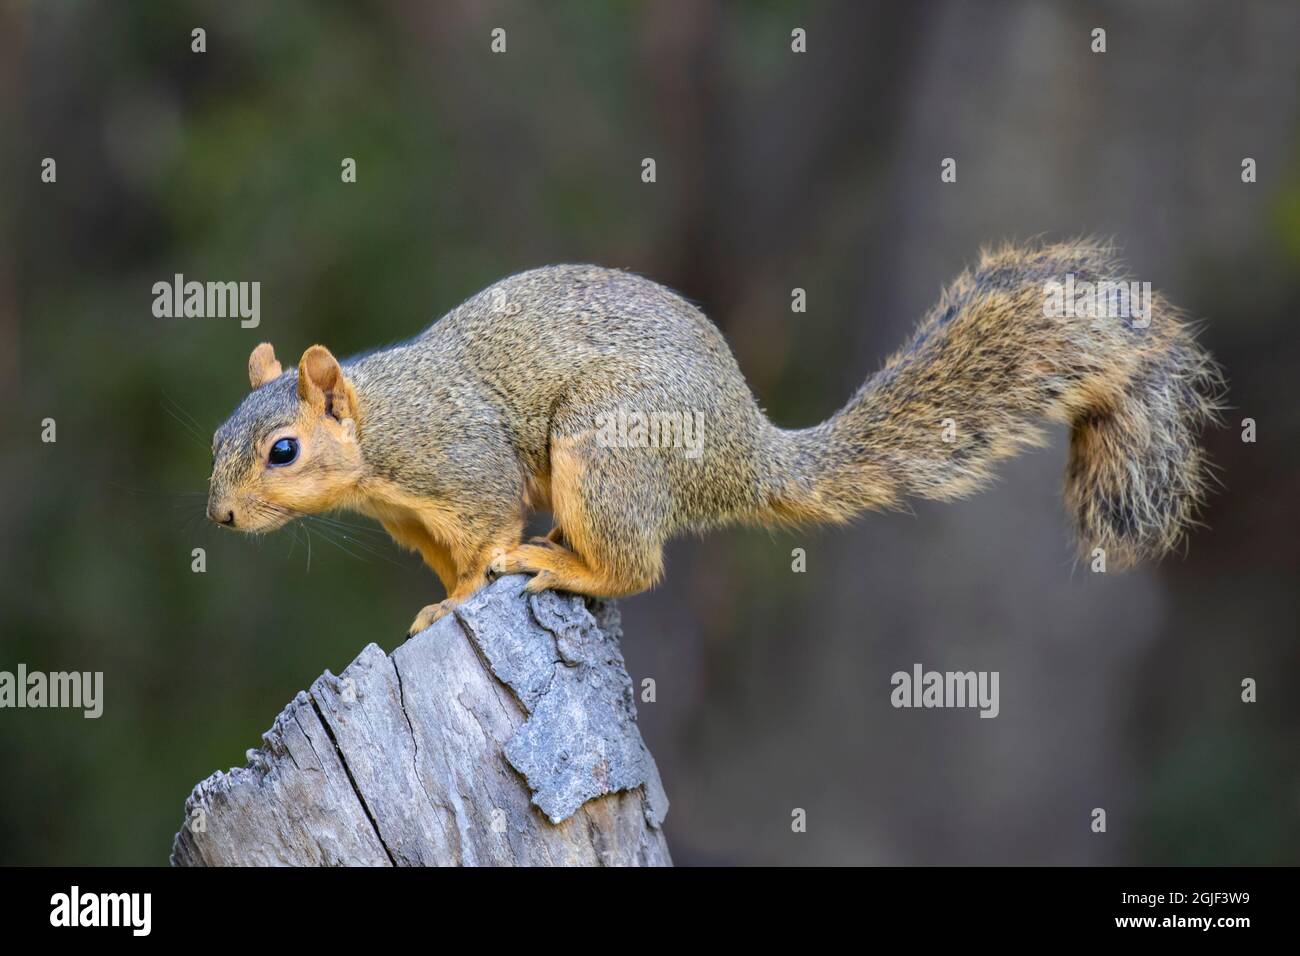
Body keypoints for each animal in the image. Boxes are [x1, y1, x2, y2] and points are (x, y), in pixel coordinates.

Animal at [207, 239, 1223, 635]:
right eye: (218, 437)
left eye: (283, 451)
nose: (219, 518)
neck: (380, 439)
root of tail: (748, 455)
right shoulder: (413, 519)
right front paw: (439, 599)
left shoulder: (460, 466)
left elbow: (481, 535)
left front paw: (454, 603)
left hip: (608, 448)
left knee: (635, 568)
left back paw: (563, 563)